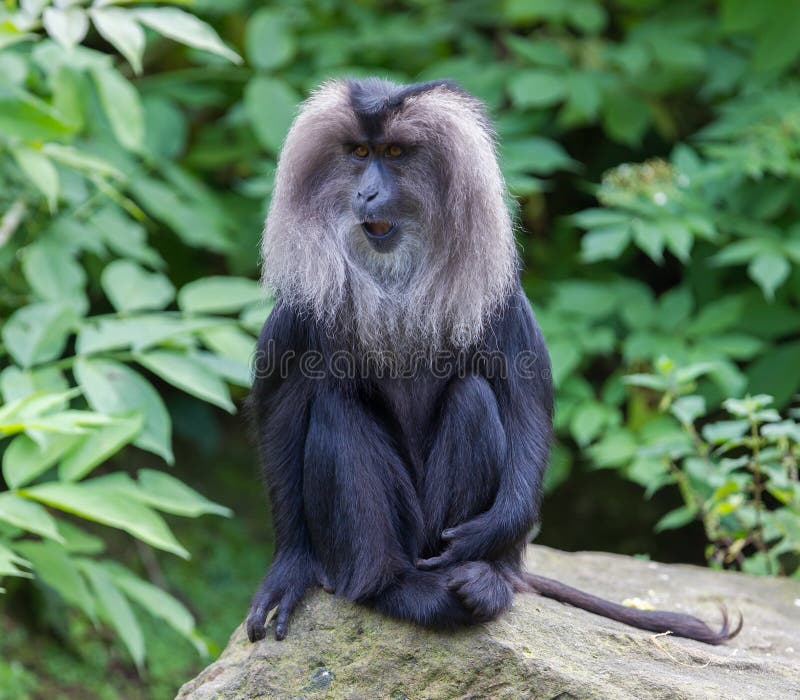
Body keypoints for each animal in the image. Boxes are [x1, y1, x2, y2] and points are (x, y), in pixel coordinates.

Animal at [244, 77, 742, 645]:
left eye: (393, 154)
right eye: (359, 154)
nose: (366, 194)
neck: (395, 278)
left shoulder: (498, 293)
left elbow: (525, 399)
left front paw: (494, 527)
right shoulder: (300, 310)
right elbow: (281, 409)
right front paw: (290, 568)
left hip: (436, 537)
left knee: (473, 398)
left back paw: (483, 580)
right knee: (336, 409)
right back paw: (399, 590)